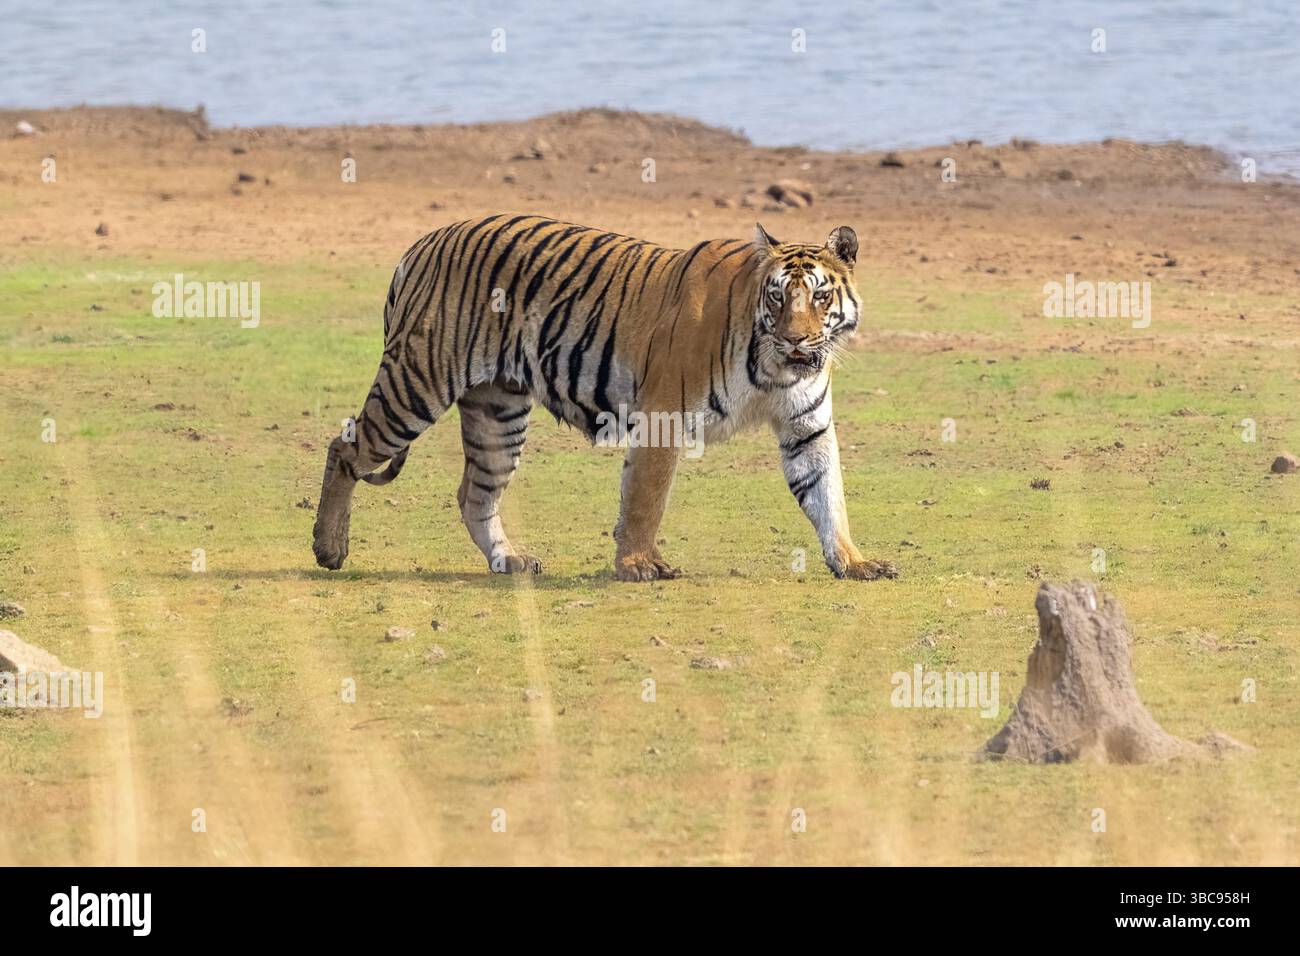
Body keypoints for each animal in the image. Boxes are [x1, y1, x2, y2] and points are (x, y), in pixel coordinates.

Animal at [312, 214, 899, 582]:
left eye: (819, 295)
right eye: (777, 297)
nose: (797, 340)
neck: (773, 369)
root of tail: (420, 244)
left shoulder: (807, 428)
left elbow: (828, 497)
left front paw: (853, 562)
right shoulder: (663, 416)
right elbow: (645, 497)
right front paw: (638, 565)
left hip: (498, 411)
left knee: (474, 494)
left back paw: (511, 561)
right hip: (418, 382)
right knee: (345, 446)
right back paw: (329, 547)